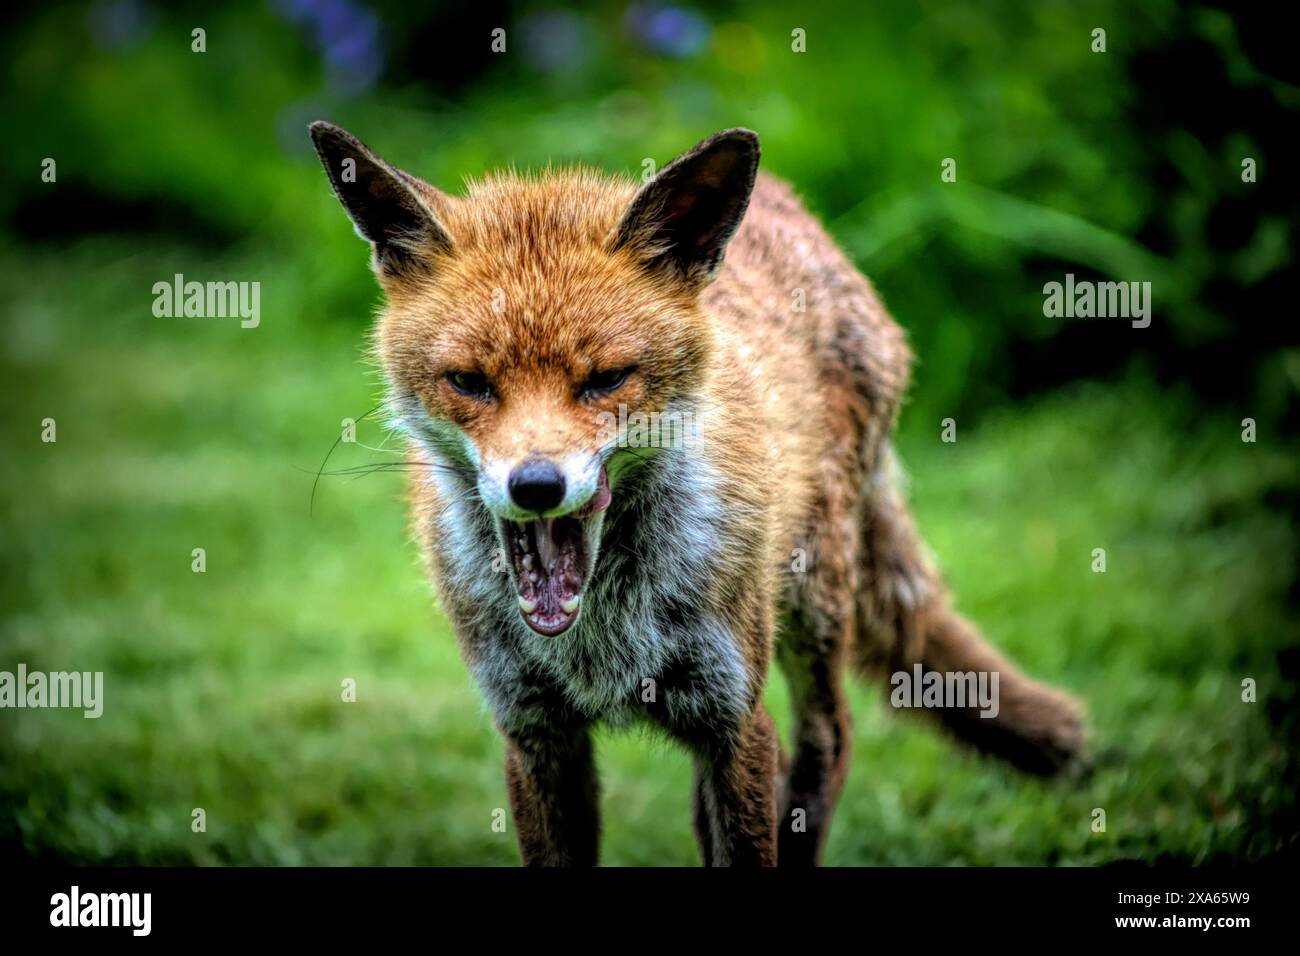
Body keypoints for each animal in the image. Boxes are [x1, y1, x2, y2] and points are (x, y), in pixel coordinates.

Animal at [310, 122, 1086, 867]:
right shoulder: (536, 733)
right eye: (469, 383)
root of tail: (787, 204)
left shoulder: (732, 717)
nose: (535, 486)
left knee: (829, 742)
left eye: (606, 379)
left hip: (813, 608)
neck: (602, 637)